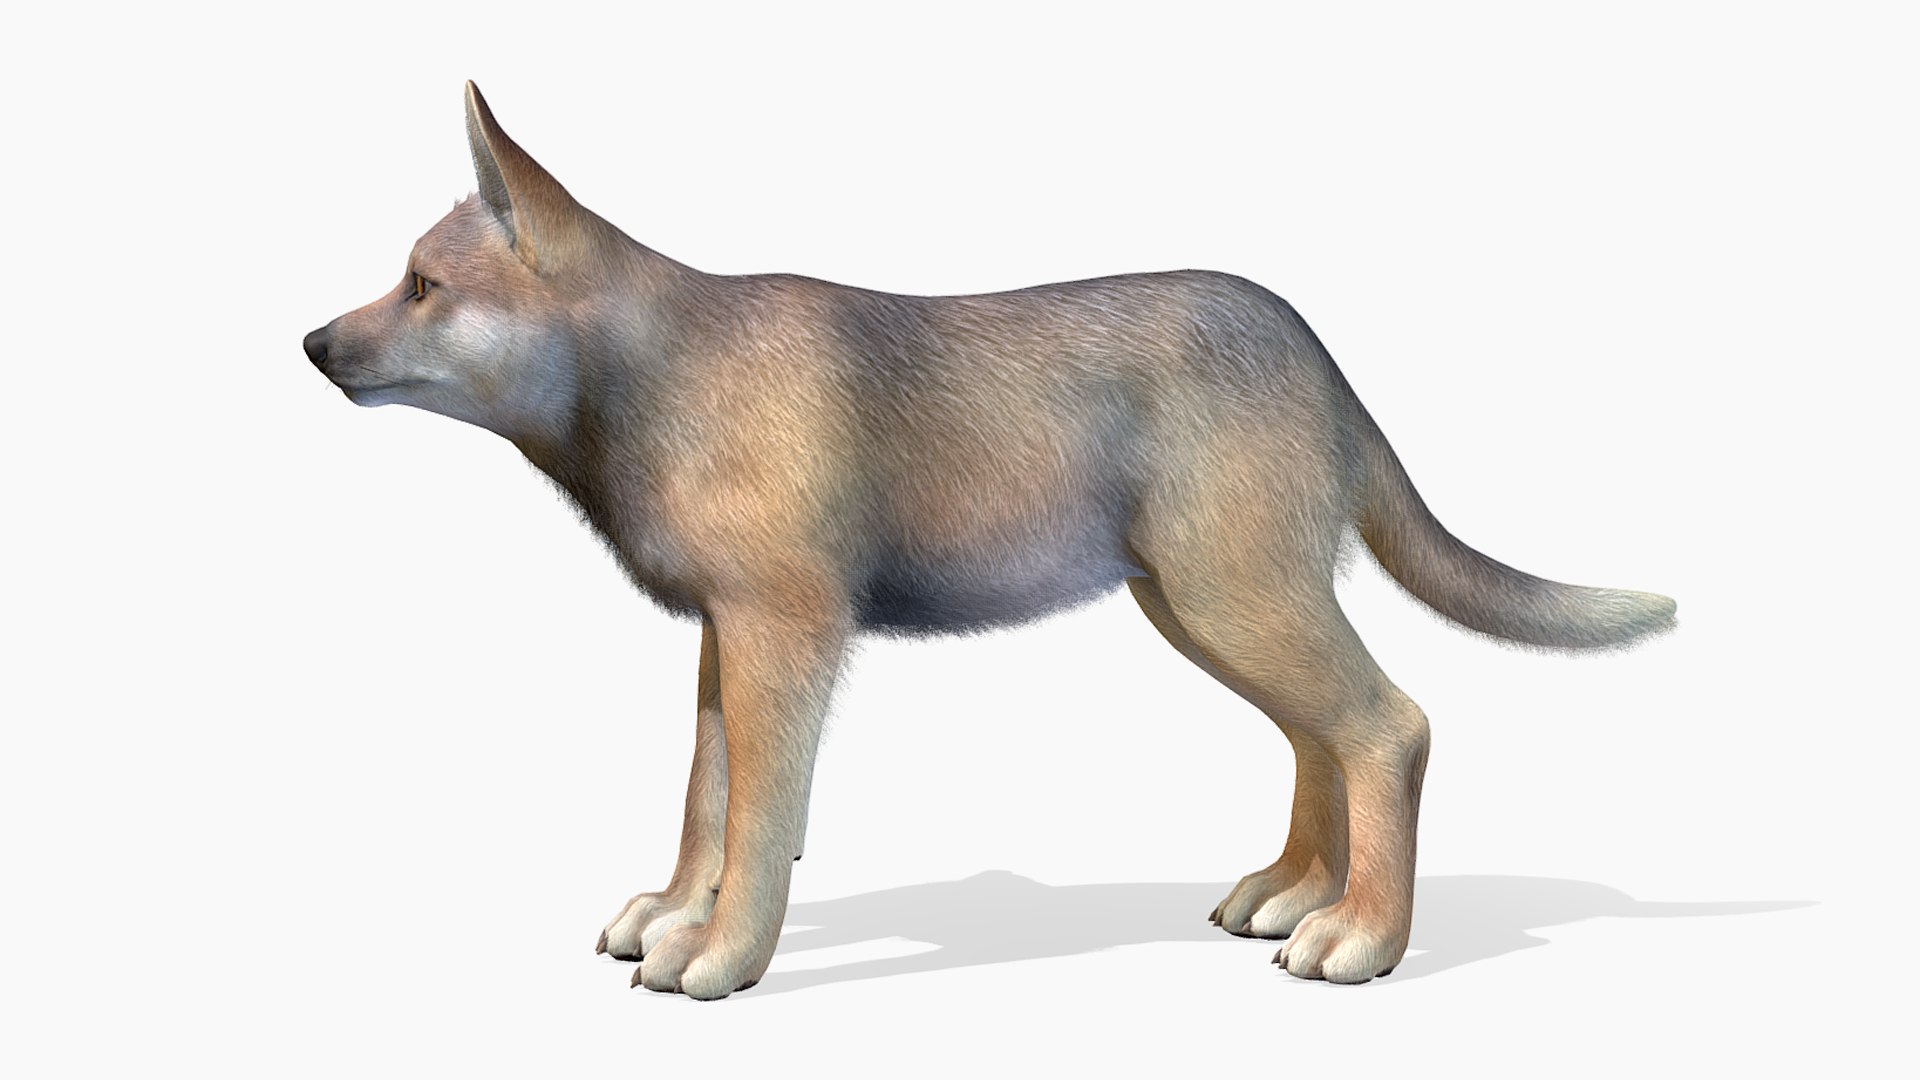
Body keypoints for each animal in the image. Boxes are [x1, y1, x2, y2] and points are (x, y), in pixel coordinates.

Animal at [303, 82, 1673, 998]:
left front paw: (725, 954)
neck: (656, 380)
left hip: (1233, 601)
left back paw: (1364, 936)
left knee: (1391, 726)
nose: (313, 343)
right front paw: (678, 914)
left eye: (422, 285)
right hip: (1207, 606)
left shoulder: (788, 634)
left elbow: (758, 821)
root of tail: (1318, 351)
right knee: (1322, 739)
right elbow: (705, 800)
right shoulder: (723, 638)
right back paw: (1296, 892)